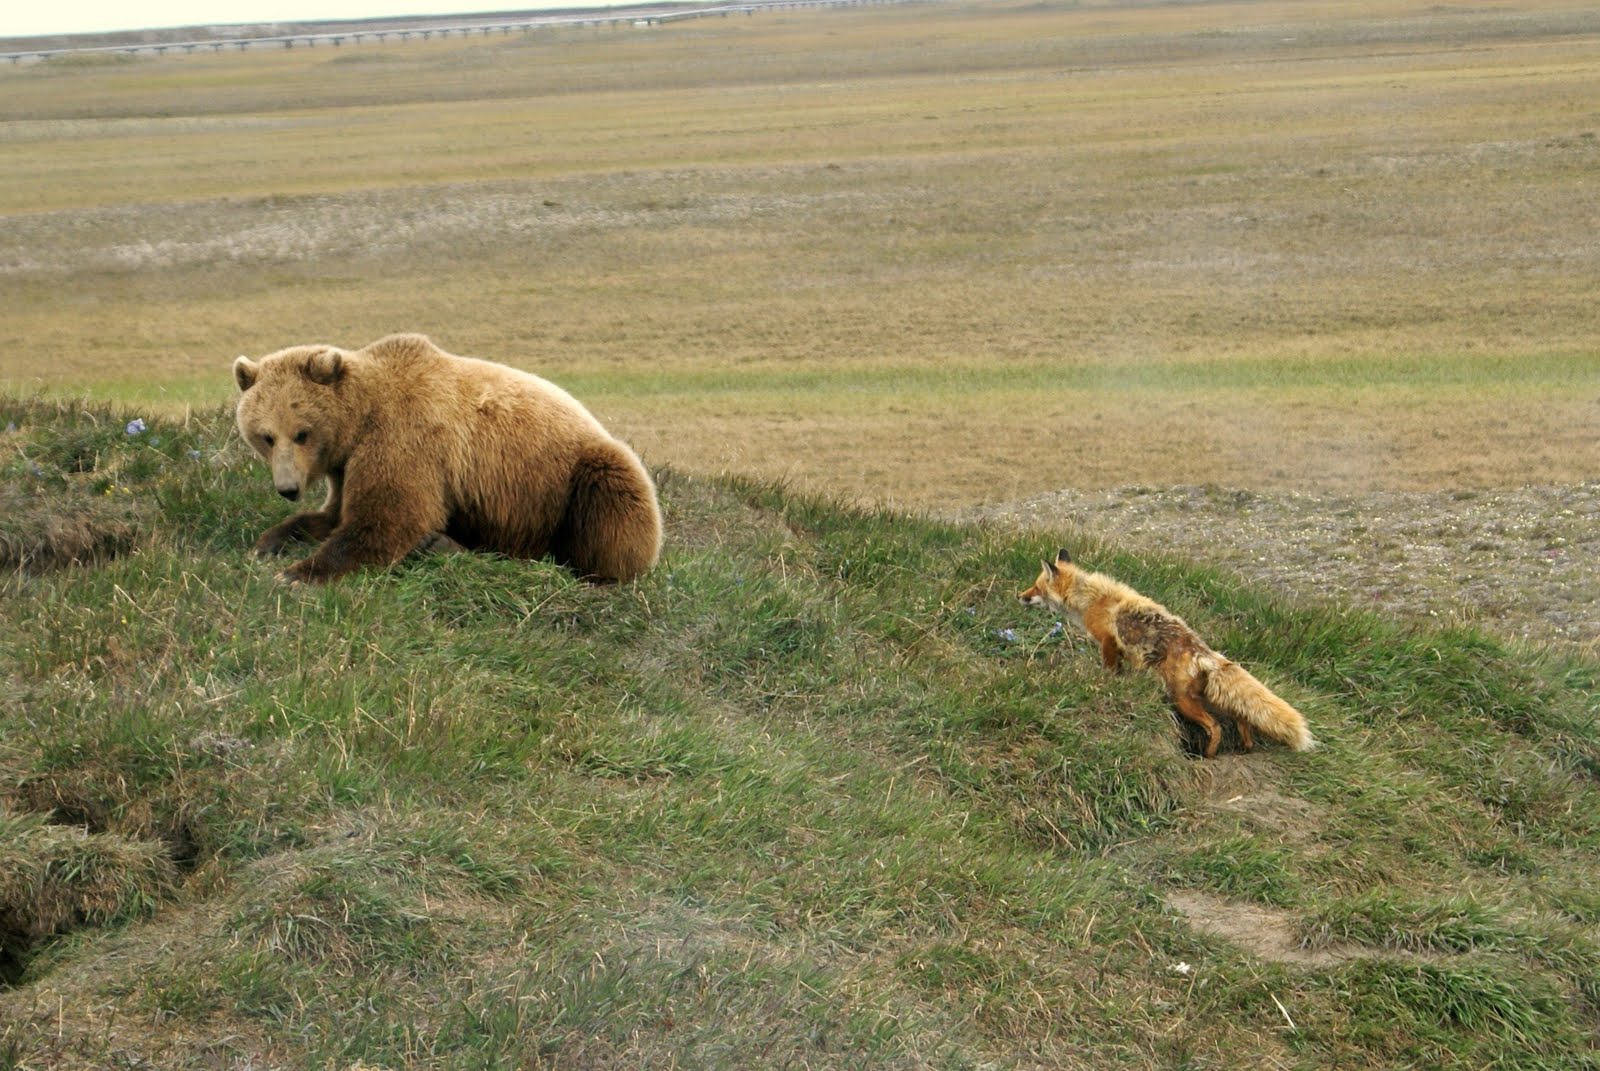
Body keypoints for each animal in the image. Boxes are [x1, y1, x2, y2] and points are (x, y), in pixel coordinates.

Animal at [233, 332, 662, 585]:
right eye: (266, 436)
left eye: (301, 432)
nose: (287, 488)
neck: (360, 417)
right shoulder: (346, 462)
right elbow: (335, 515)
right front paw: (270, 542)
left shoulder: (404, 439)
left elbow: (387, 518)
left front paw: (297, 574)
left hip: (569, 482)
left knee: (610, 498)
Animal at [1019, 548, 1315, 758]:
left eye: (1036, 586)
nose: (1019, 596)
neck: (1089, 598)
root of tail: (1204, 652)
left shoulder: (1108, 644)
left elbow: (1110, 669)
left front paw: (1107, 684)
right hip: (1207, 698)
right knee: (1241, 717)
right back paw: (1246, 747)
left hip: (1182, 700)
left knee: (1215, 726)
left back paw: (1208, 755)